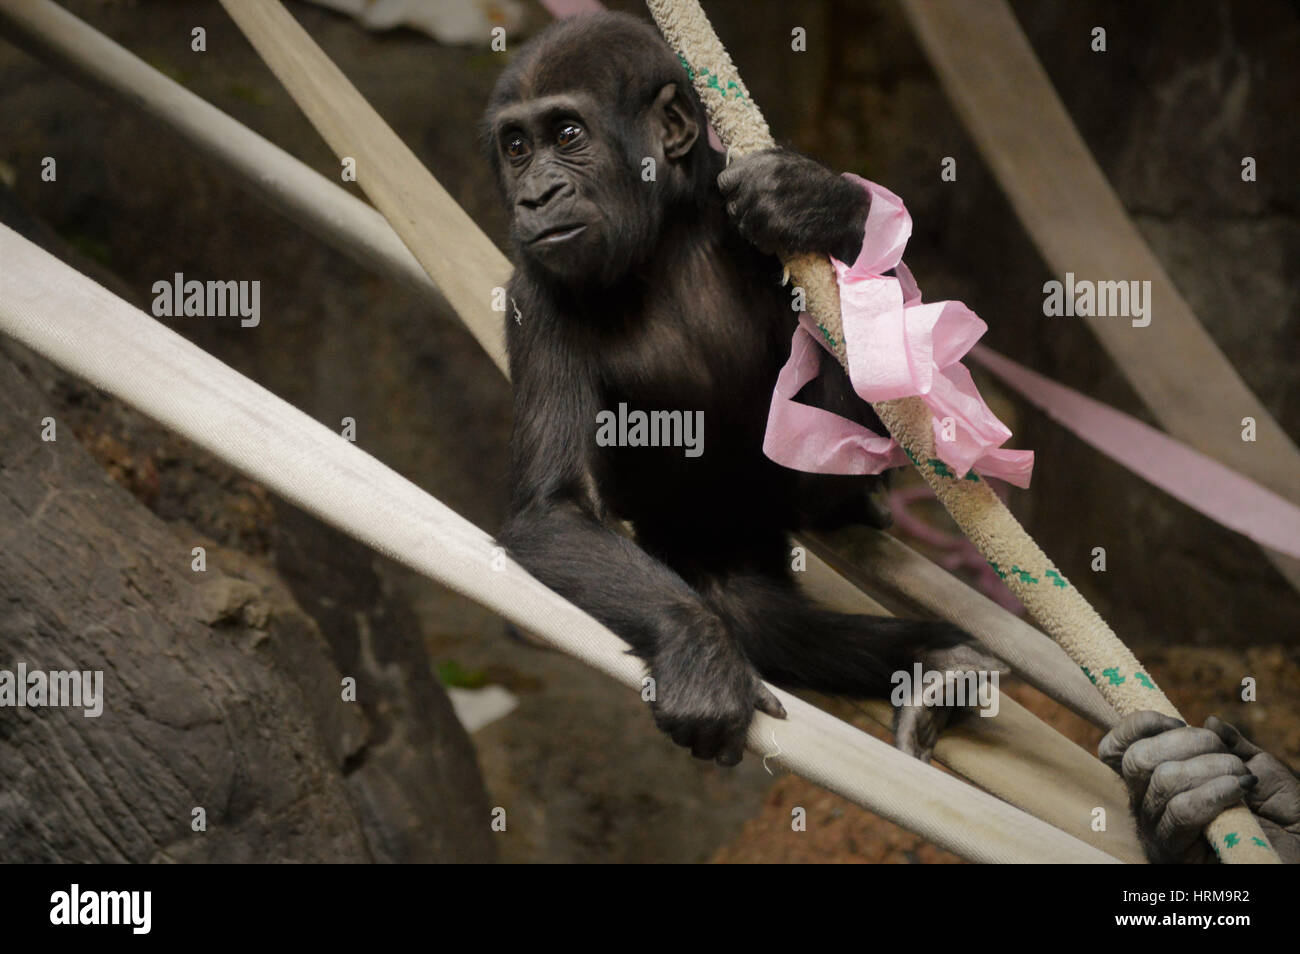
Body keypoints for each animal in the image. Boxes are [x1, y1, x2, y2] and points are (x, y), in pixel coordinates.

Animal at [486, 11, 971, 767]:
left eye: (566, 135)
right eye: (515, 147)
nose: (535, 193)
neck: (663, 240)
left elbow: (854, 440)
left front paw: (823, 205)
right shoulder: (533, 298)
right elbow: (555, 510)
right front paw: (701, 656)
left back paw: (932, 657)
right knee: (766, 621)